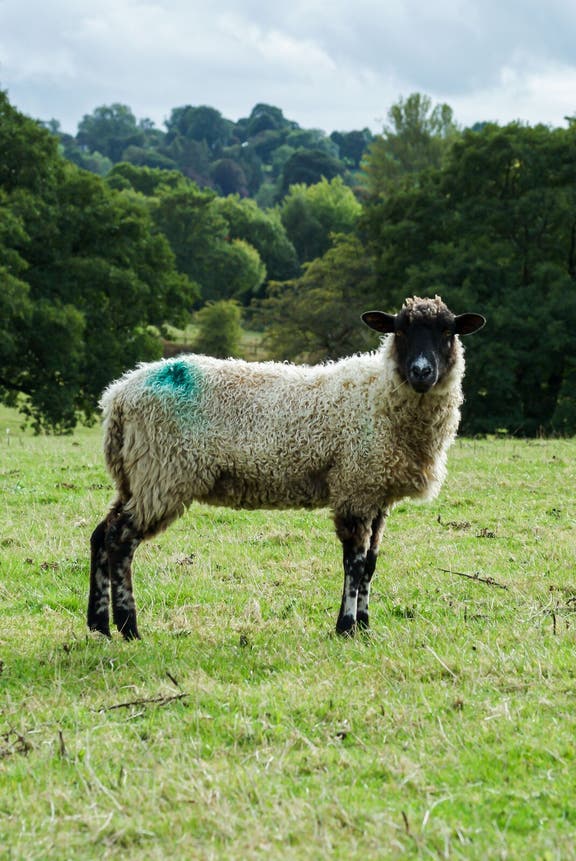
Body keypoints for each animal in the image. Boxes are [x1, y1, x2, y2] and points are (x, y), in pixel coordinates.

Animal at [87, 295, 485, 640]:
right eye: (400, 331)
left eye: (448, 332)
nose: (422, 372)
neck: (380, 396)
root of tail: (119, 395)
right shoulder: (354, 486)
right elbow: (354, 564)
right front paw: (346, 627)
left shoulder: (377, 493)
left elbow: (371, 564)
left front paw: (365, 627)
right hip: (161, 473)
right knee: (121, 540)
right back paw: (128, 627)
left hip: (135, 477)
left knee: (101, 534)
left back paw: (99, 624)